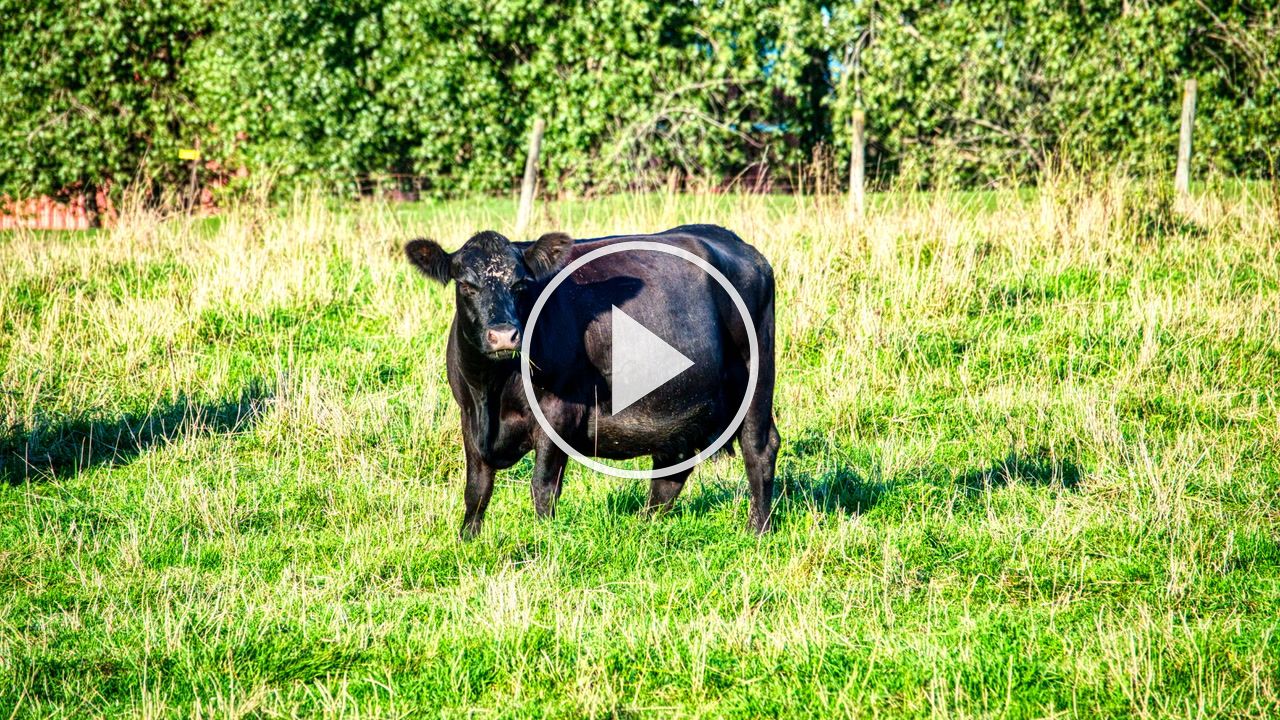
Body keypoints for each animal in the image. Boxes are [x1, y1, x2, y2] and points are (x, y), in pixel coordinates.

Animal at [404, 225, 779, 538]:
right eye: (466, 284)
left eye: (520, 284)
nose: (503, 335)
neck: (492, 391)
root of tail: (735, 244)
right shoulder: (468, 415)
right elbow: (477, 488)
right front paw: (467, 540)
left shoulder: (559, 412)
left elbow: (543, 486)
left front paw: (543, 539)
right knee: (672, 468)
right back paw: (645, 527)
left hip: (757, 377)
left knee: (759, 448)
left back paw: (756, 531)